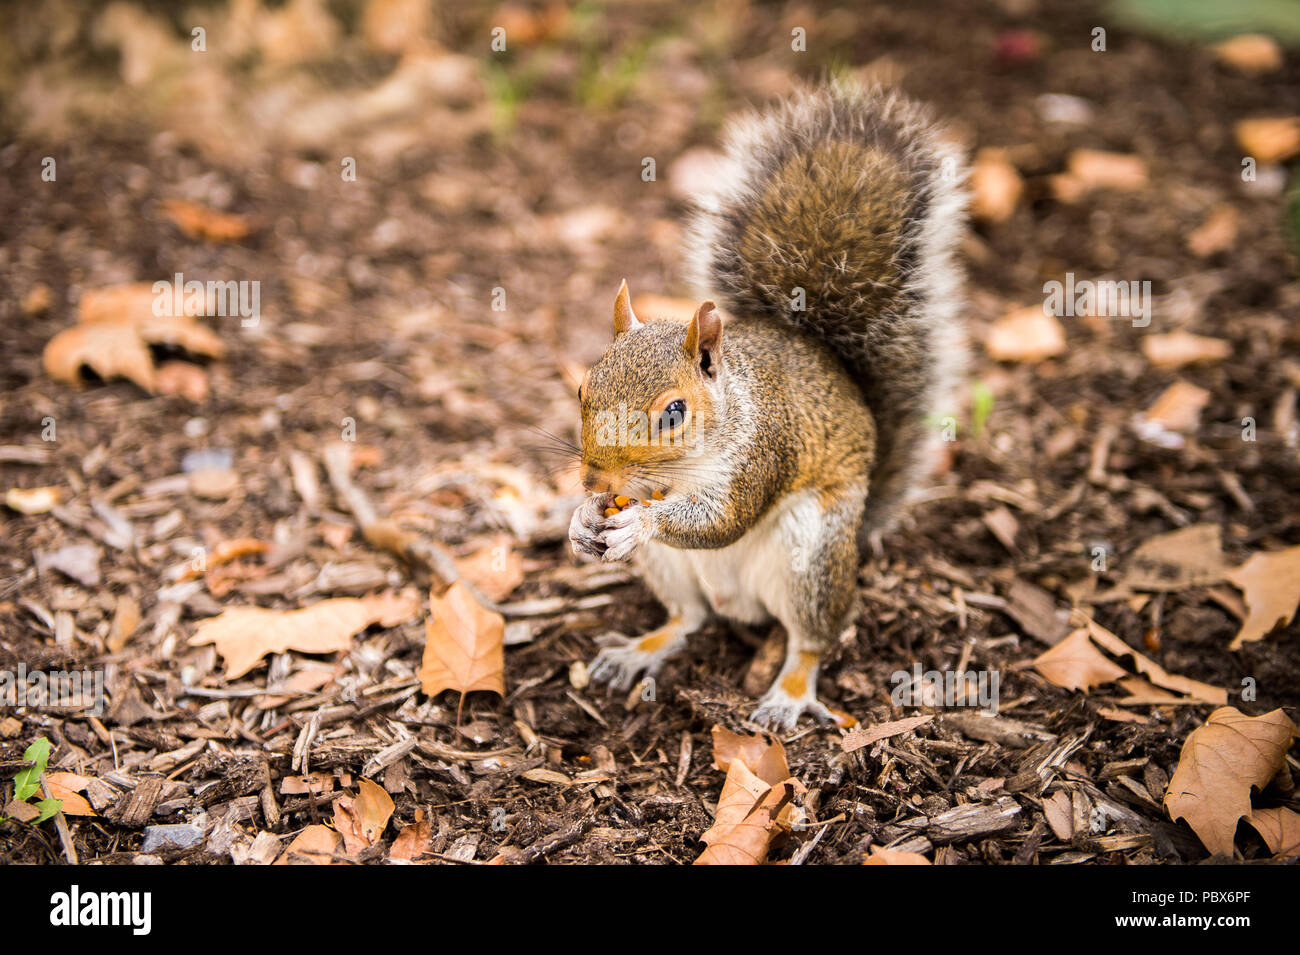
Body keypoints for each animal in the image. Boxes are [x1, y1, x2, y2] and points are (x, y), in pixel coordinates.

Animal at [568, 81, 968, 730]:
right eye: (583, 389)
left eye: (674, 412)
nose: (595, 481)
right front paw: (581, 520)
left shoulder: (764, 451)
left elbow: (723, 520)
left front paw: (641, 520)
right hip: (671, 571)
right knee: (689, 618)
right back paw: (640, 651)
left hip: (812, 555)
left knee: (810, 639)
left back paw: (787, 695)